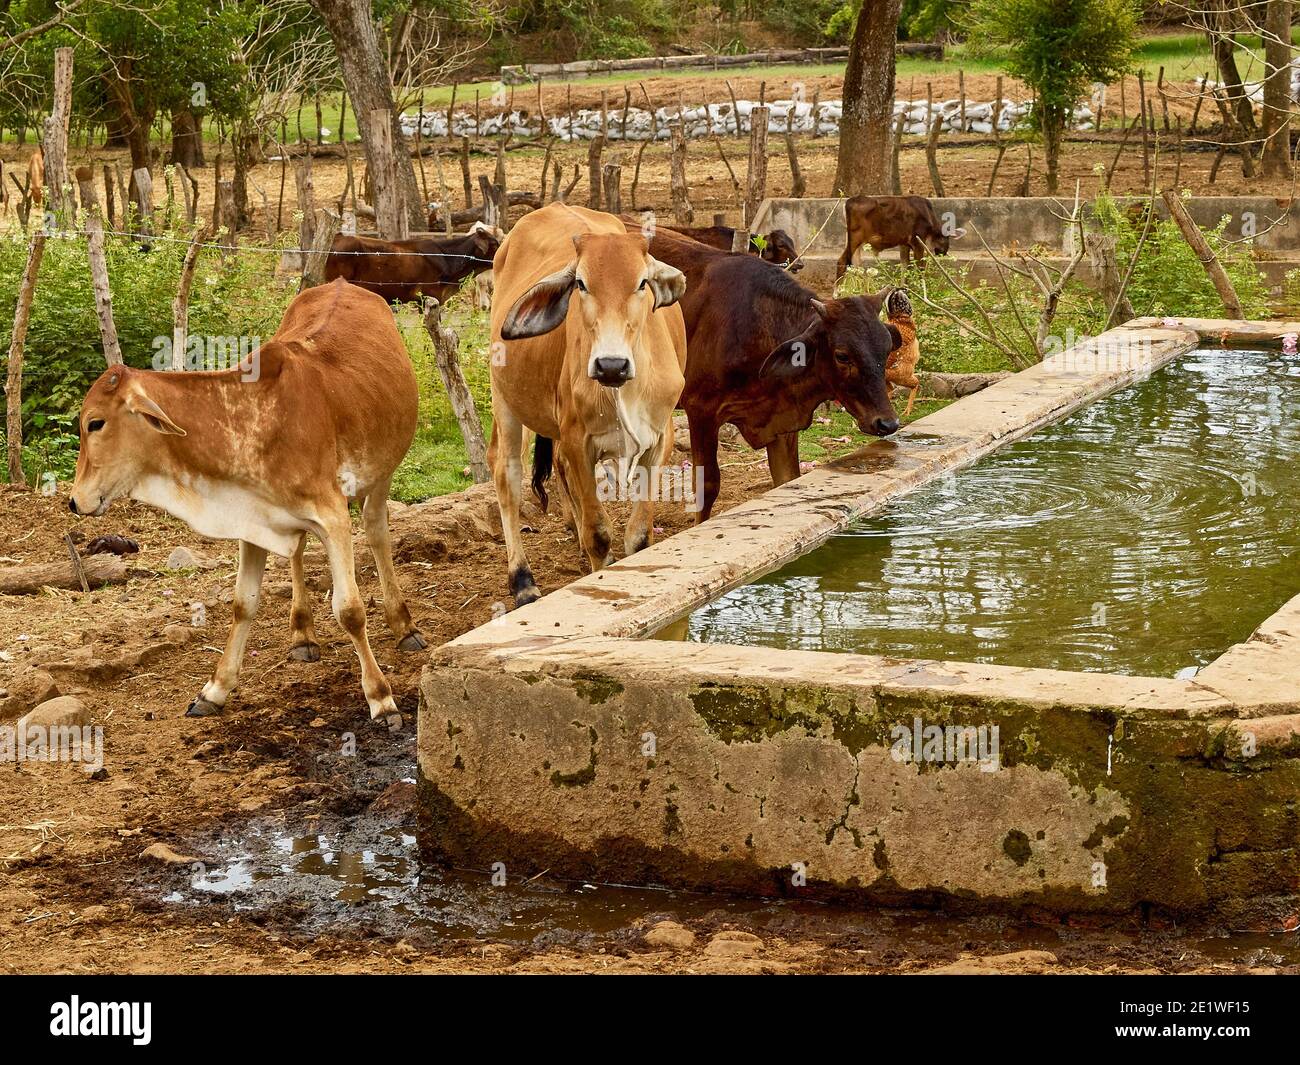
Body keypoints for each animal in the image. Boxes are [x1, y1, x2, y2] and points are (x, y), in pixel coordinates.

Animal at [67, 279, 426, 722]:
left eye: (95, 423)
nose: (75, 500)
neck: (252, 421)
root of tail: (342, 282)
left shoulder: (333, 517)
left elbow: (350, 610)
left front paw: (381, 698)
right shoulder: (253, 520)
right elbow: (243, 604)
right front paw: (215, 689)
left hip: (380, 475)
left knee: (377, 534)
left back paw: (403, 625)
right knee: (298, 551)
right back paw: (302, 633)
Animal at [489, 203, 687, 607]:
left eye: (642, 283)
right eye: (580, 284)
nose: (611, 364)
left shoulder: (659, 440)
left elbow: (640, 535)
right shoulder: (577, 440)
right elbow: (599, 534)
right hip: (505, 401)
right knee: (507, 478)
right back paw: (522, 580)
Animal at [837, 195, 965, 275]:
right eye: (946, 238)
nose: (943, 252)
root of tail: (847, 202)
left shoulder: (904, 244)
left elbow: (905, 269)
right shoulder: (917, 241)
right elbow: (920, 269)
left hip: (851, 239)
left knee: (857, 266)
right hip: (856, 237)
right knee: (843, 261)